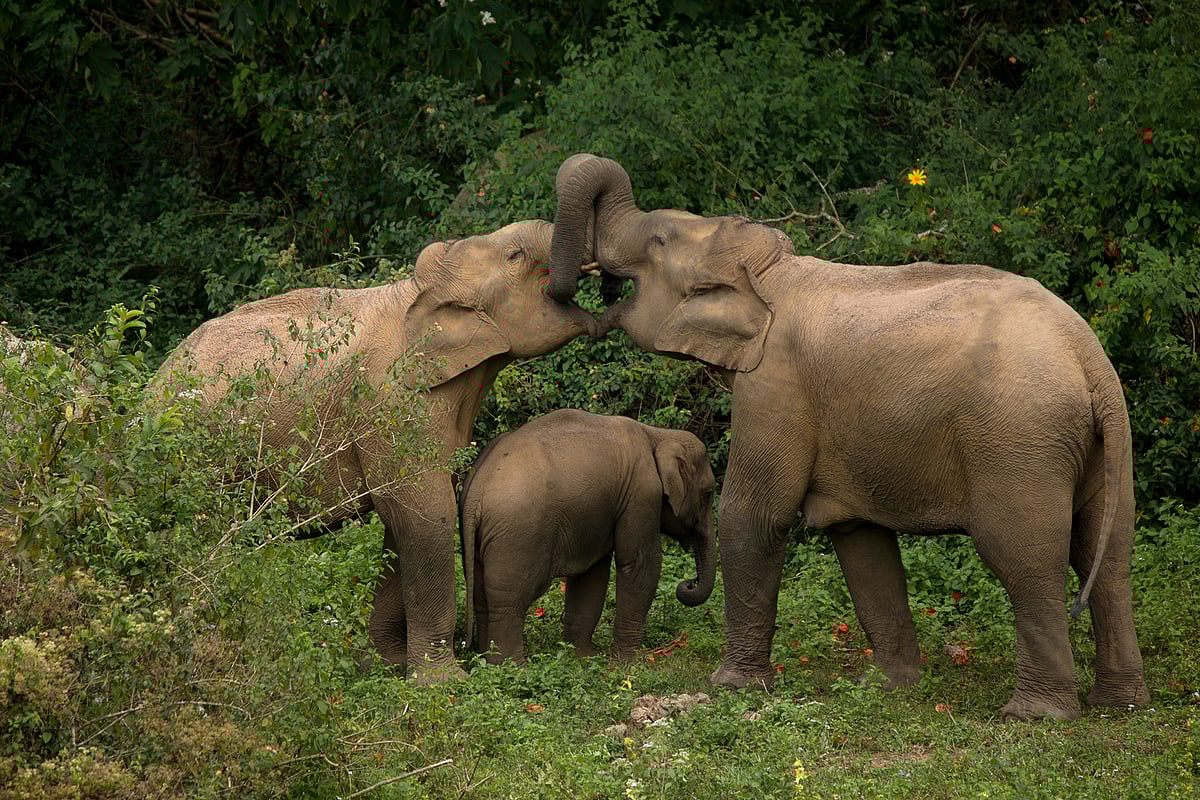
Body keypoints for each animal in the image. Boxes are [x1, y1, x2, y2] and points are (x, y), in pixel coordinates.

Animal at [154, 220, 599, 682]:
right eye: (516, 256)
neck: (419, 290)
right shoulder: (392, 403)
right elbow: (427, 513)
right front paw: (440, 683)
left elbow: (402, 524)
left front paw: (386, 665)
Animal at [459, 408, 716, 664]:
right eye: (708, 493)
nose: (690, 582)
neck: (657, 434)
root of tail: (476, 492)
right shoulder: (642, 494)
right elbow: (639, 564)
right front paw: (630, 661)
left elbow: (592, 574)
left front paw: (585, 656)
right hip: (519, 535)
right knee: (510, 600)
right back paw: (514, 666)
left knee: (482, 597)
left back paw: (484, 658)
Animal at [543, 154, 1149, 721]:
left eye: (658, 241)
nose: (573, 290)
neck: (771, 271)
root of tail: (1089, 357)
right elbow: (859, 538)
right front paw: (888, 687)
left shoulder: (774, 386)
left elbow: (754, 516)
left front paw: (733, 687)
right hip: (1100, 444)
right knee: (1108, 554)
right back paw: (1121, 704)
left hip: (1020, 440)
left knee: (1026, 557)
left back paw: (1034, 715)